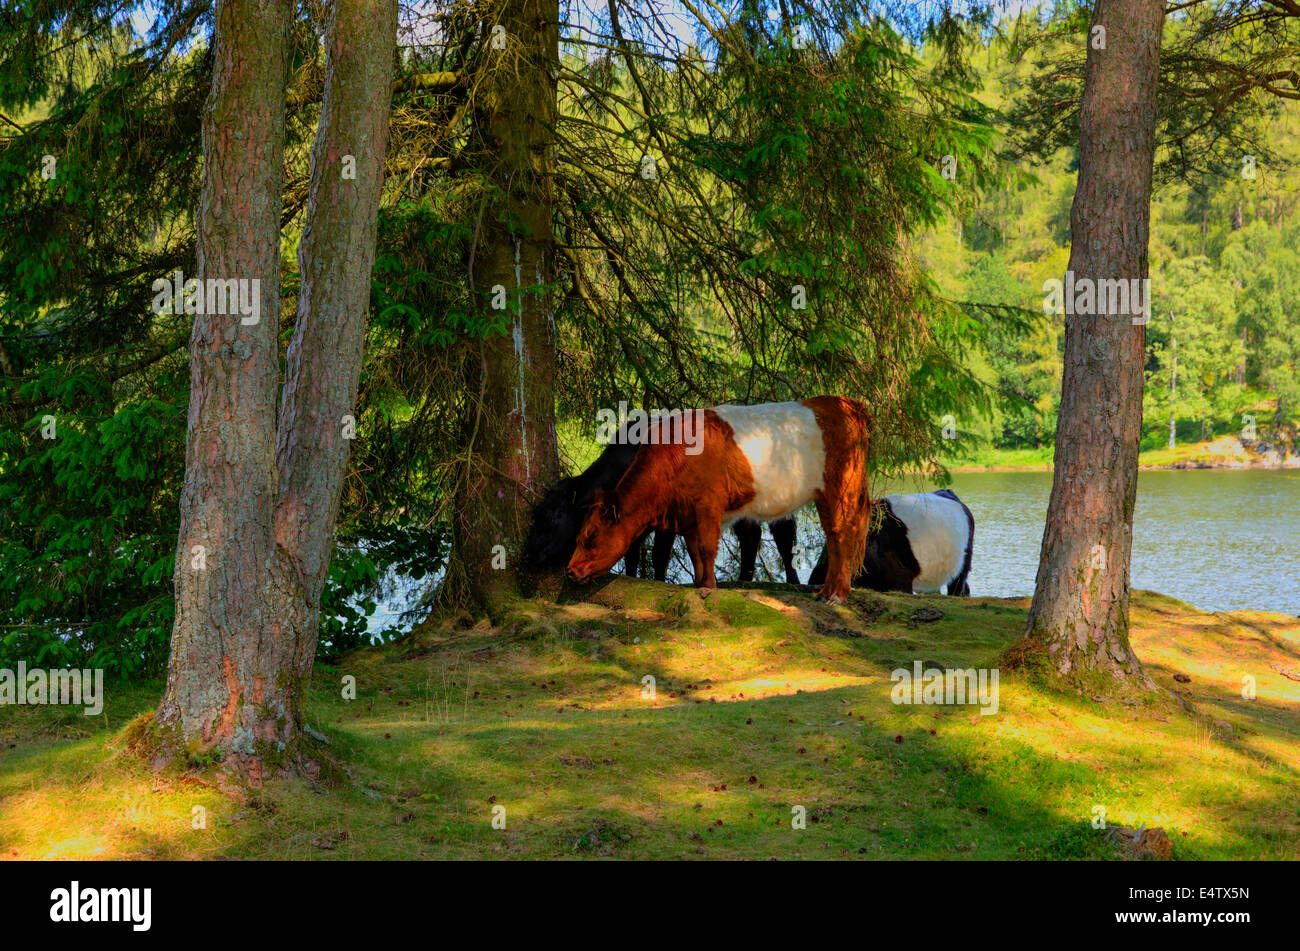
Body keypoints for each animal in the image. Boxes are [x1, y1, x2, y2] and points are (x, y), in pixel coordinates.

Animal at [566, 397, 871, 603]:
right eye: (578, 536)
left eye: (590, 538)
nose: (569, 571)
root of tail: (843, 403)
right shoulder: (688, 517)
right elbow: (694, 553)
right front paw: (700, 583)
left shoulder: (708, 505)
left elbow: (707, 549)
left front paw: (710, 587)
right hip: (824, 494)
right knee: (832, 536)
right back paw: (825, 592)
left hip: (841, 488)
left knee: (843, 535)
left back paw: (838, 594)